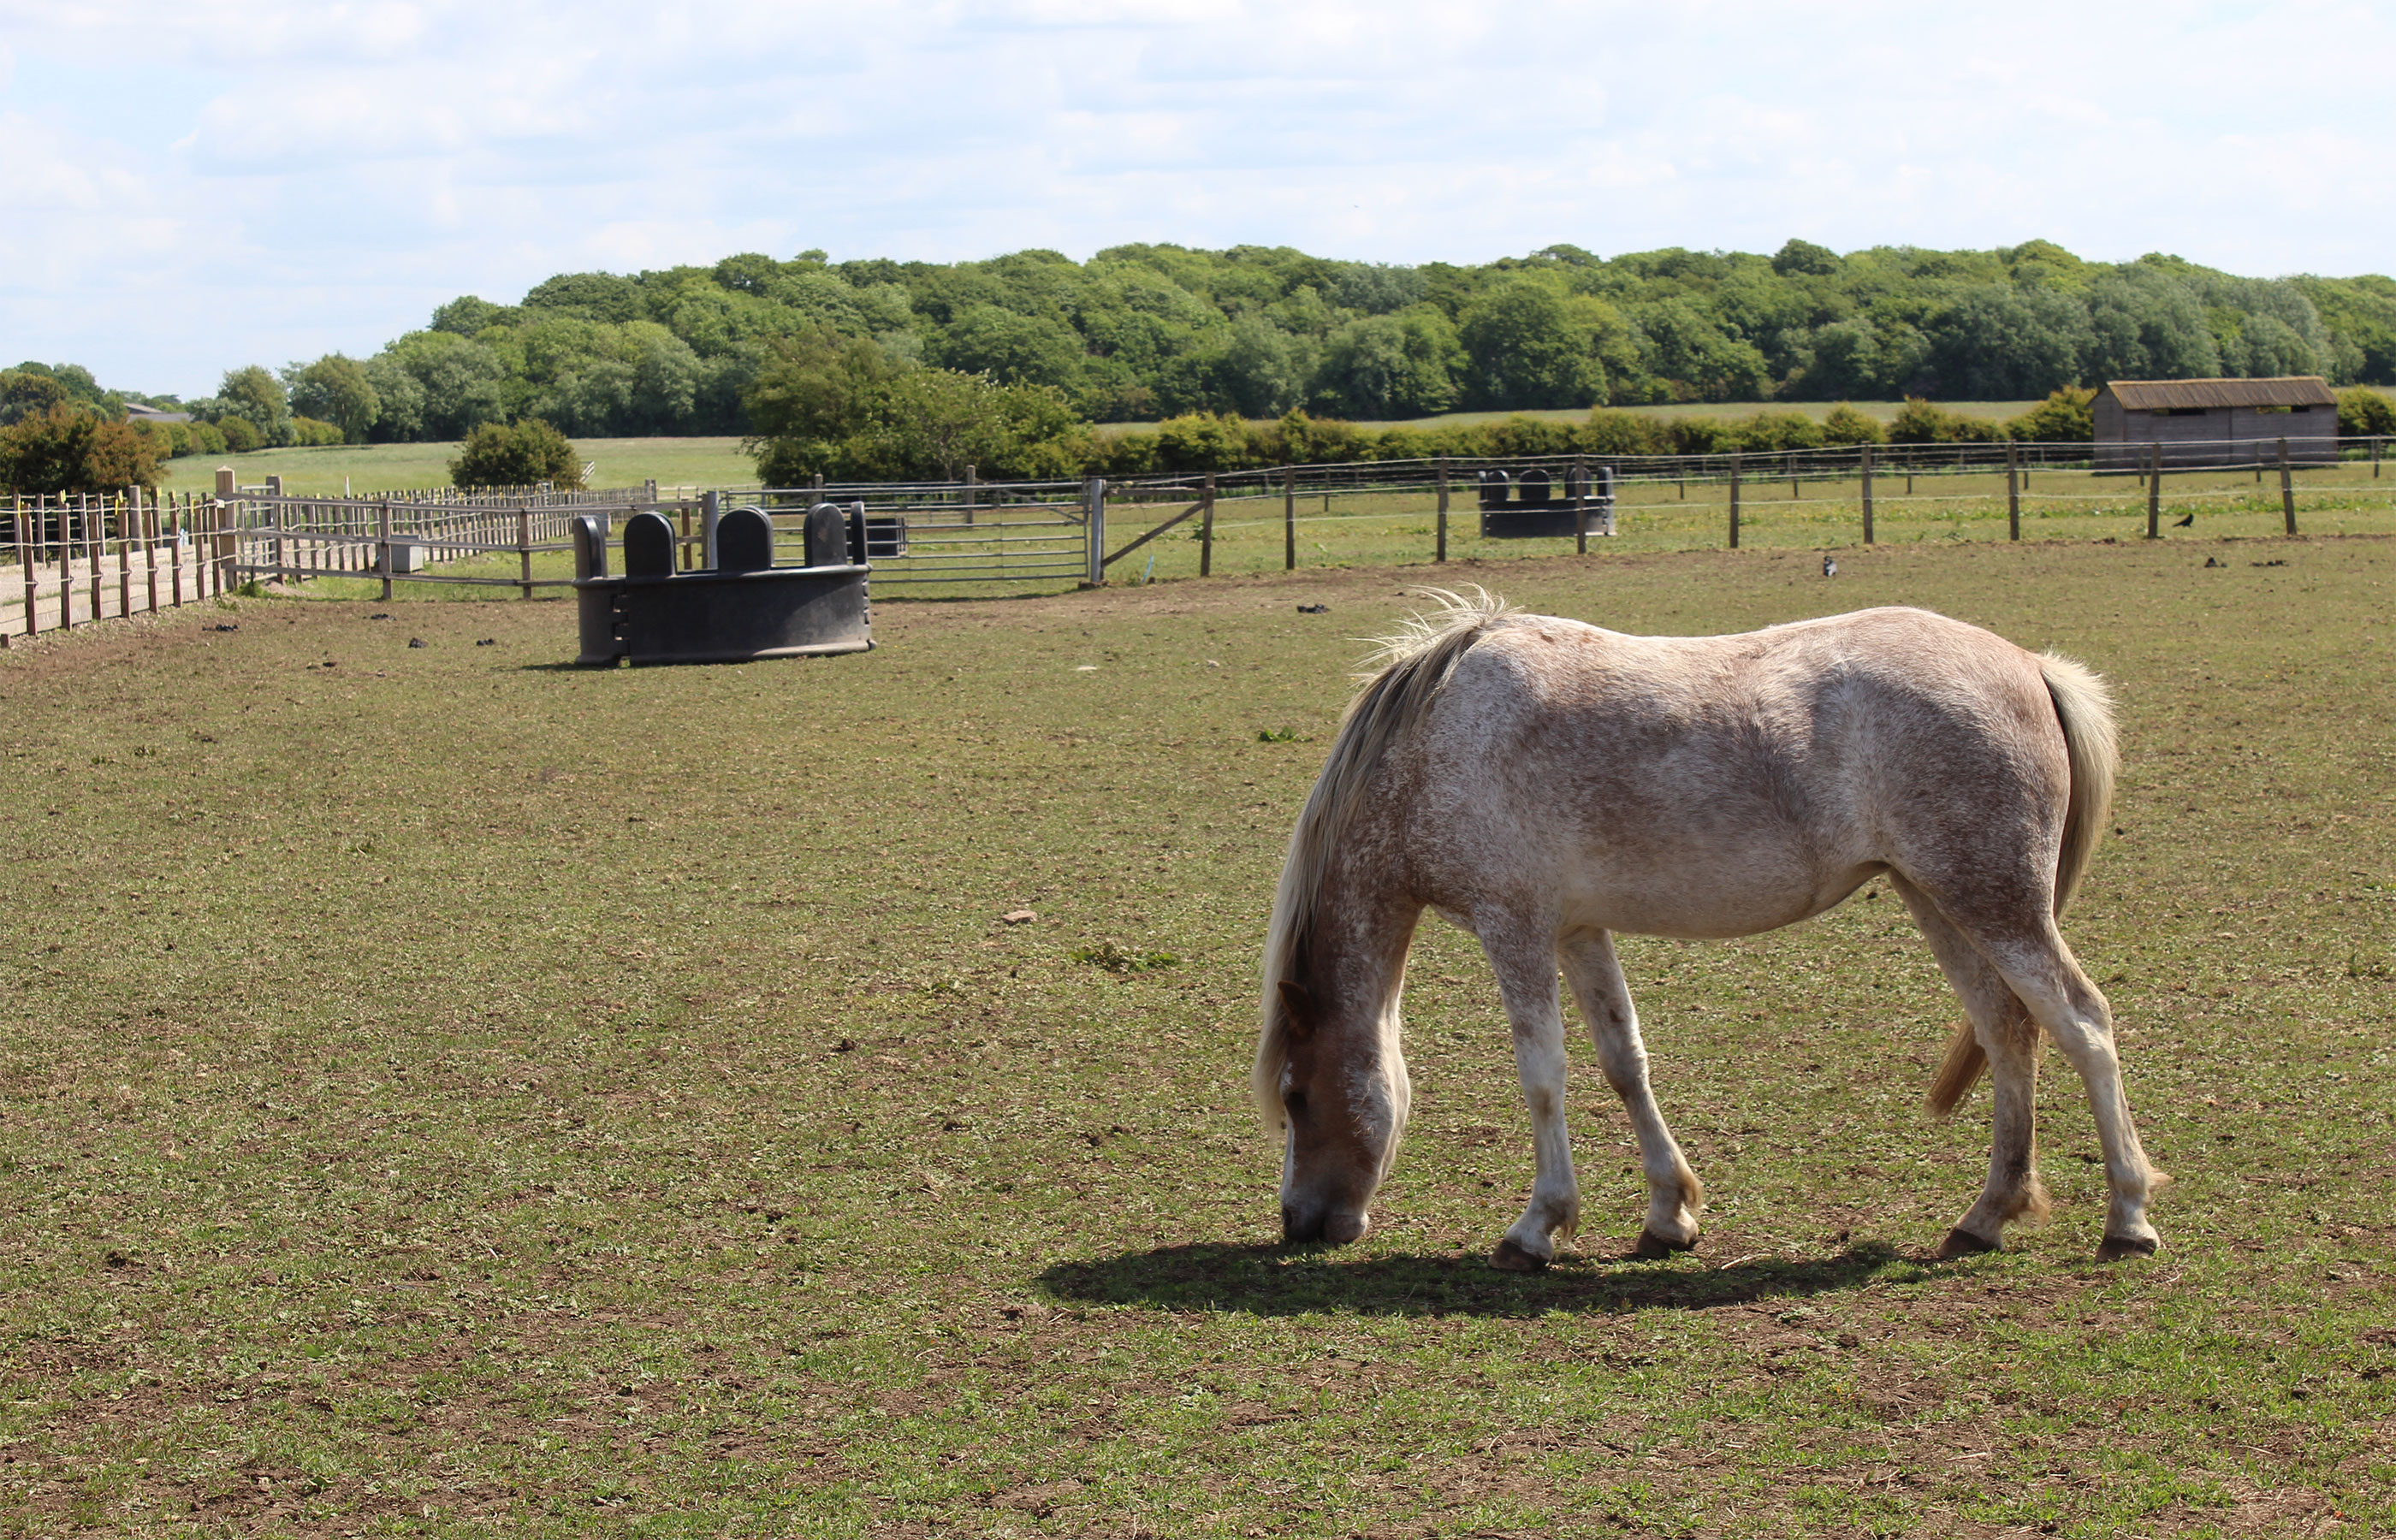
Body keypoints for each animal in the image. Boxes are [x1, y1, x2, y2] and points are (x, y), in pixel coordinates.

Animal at [1253, 591, 2165, 1270]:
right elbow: (1624, 1063)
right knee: (2009, 1031)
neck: (1435, 745)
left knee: (2083, 1023)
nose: (1301, 1223)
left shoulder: (1513, 926)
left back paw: (2127, 1217)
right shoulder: (1578, 929)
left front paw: (1539, 1225)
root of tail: (2034, 667)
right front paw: (1669, 1214)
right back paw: (1987, 1214)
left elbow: (1543, 1075)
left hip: (1996, 905)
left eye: (1297, 1097)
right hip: (1940, 900)